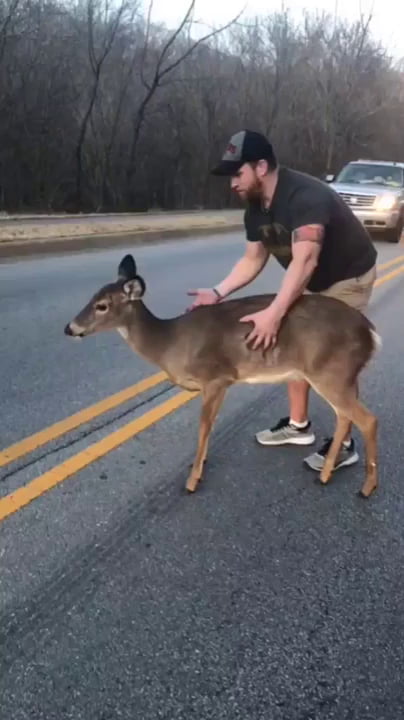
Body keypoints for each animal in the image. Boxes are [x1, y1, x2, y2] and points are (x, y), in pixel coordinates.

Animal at [64, 253, 380, 499]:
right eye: (92, 297)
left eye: (102, 305)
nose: (69, 328)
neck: (170, 343)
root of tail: (370, 332)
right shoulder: (218, 382)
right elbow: (209, 427)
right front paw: (200, 467)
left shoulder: (216, 377)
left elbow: (204, 427)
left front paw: (192, 480)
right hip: (338, 376)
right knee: (345, 417)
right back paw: (325, 474)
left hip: (331, 372)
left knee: (367, 419)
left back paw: (366, 487)